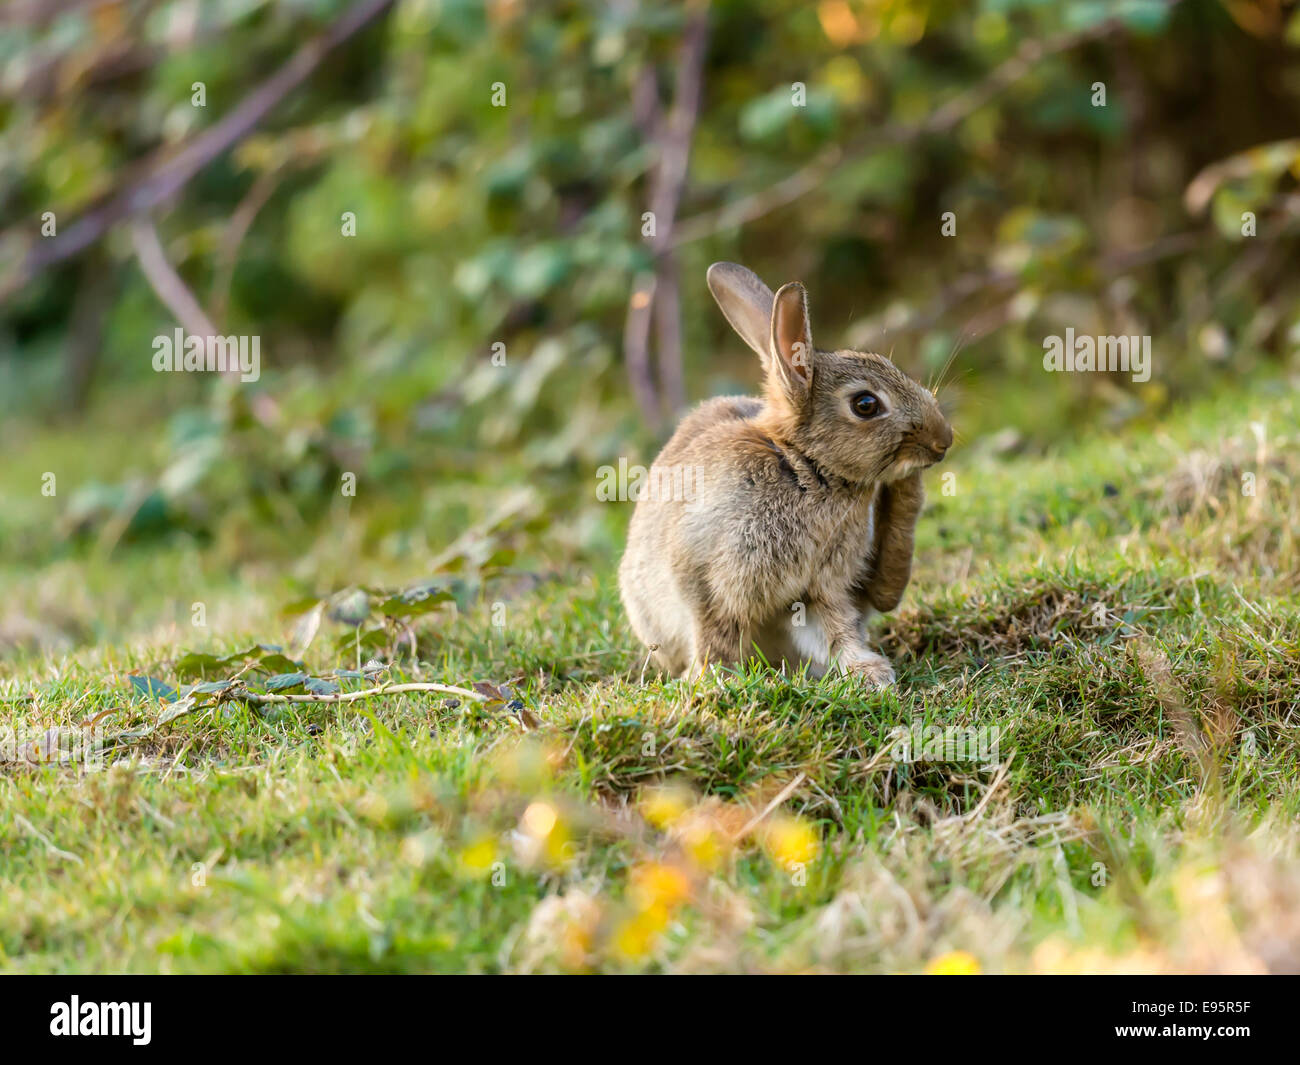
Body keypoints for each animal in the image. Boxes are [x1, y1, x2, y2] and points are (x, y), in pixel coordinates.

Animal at [618, 262, 952, 687]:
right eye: (865, 404)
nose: (944, 439)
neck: (803, 464)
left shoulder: (820, 587)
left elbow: (834, 628)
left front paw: (868, 672)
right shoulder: (703, 575)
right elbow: (713, 631)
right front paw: (712, 681)